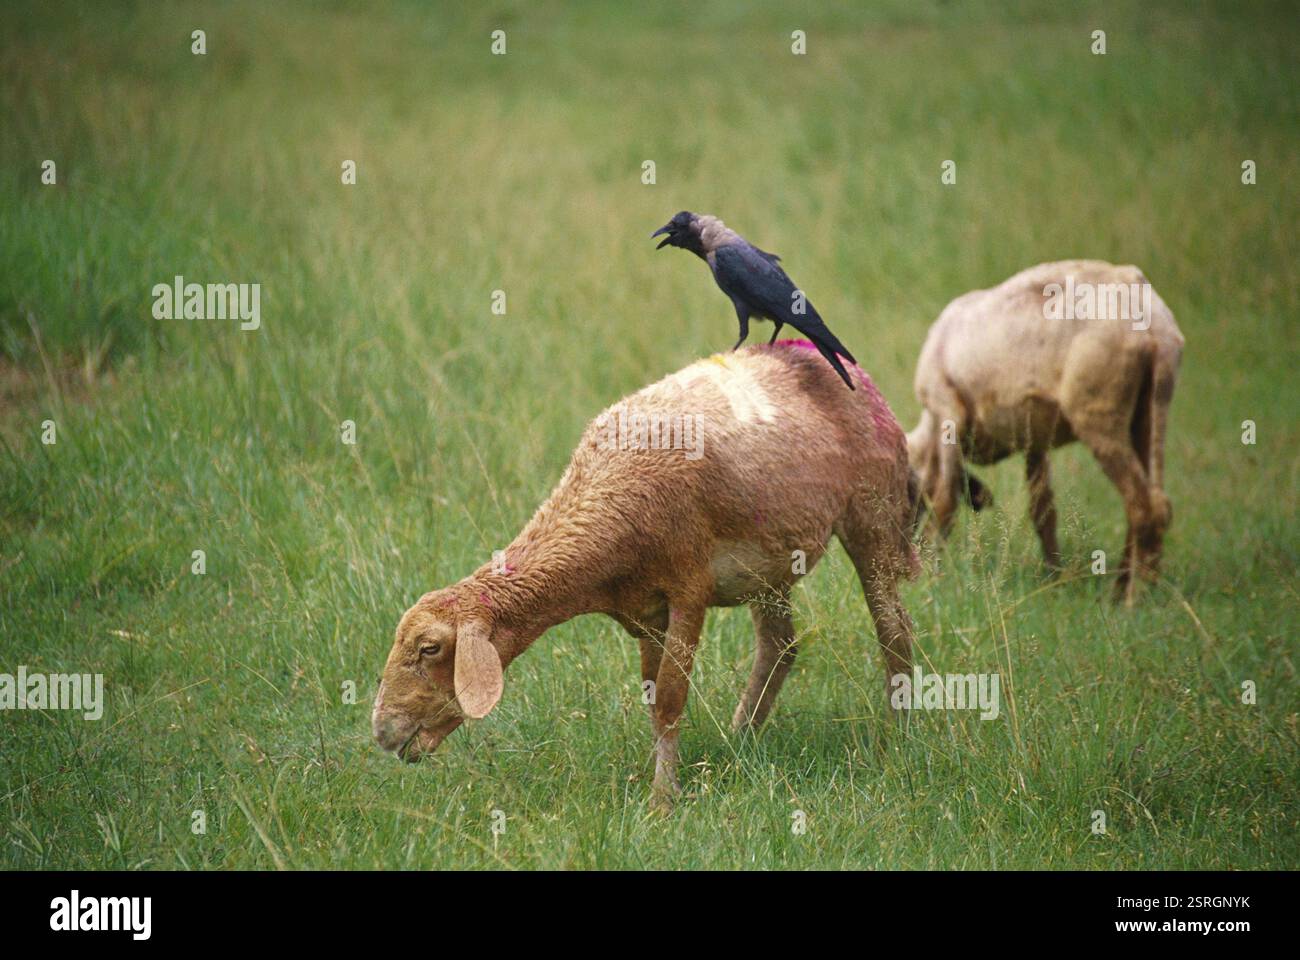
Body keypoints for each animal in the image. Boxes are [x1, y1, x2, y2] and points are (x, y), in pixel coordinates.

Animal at [373, 340, 920, 807]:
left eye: (430, 648)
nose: (381, 733)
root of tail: (841, 366)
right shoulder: (643, 613)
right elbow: (653, 695)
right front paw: (664, 776)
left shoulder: (689, 589)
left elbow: (670, 701)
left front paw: (662, 801)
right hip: (771, 562)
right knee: (781, 645)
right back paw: (741, 739)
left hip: (872, 516)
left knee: (893, 632)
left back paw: (895, 741)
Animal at [906, 260, 1184, 604]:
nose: (905, 552)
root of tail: (1153, 323)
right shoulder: (1035, 439)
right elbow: (1043, 511)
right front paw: (1055, 580)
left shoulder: (948, 412)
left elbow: (945, 501)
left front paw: (927, 580)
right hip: (1150, 410)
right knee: (1152, 503)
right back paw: (1126, 589)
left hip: (1099, 414)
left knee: (1146, 507)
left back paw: (1133, 600)